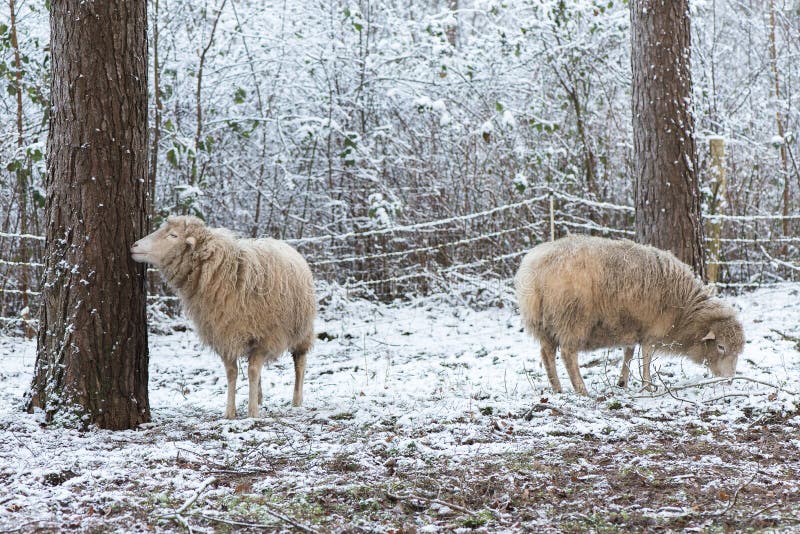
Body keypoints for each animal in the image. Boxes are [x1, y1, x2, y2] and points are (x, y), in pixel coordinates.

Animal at [131, 216, 316, 418]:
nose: (134, 245)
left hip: (302, 330)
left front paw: (252, 412)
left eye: (173, 235)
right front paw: (230, 412)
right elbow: (232, 373)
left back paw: (296, 400)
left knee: (299, 363)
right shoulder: (224, 335)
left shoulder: (265, 336)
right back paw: (259, 397)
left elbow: (252, 371)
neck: (225, 272)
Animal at [514, 235, 744, 395]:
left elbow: (628, 353)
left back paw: (557, 388)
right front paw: (648, 386)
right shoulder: (651, 331)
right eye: (721, 347)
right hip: (571, 320)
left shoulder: (631, 326)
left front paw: (622, 382)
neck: (684, 309)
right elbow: (646, 358)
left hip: (542, 324)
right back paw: (581, 389)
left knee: (546, 354)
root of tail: (535, 268)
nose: (730, 380)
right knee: (568, 355)